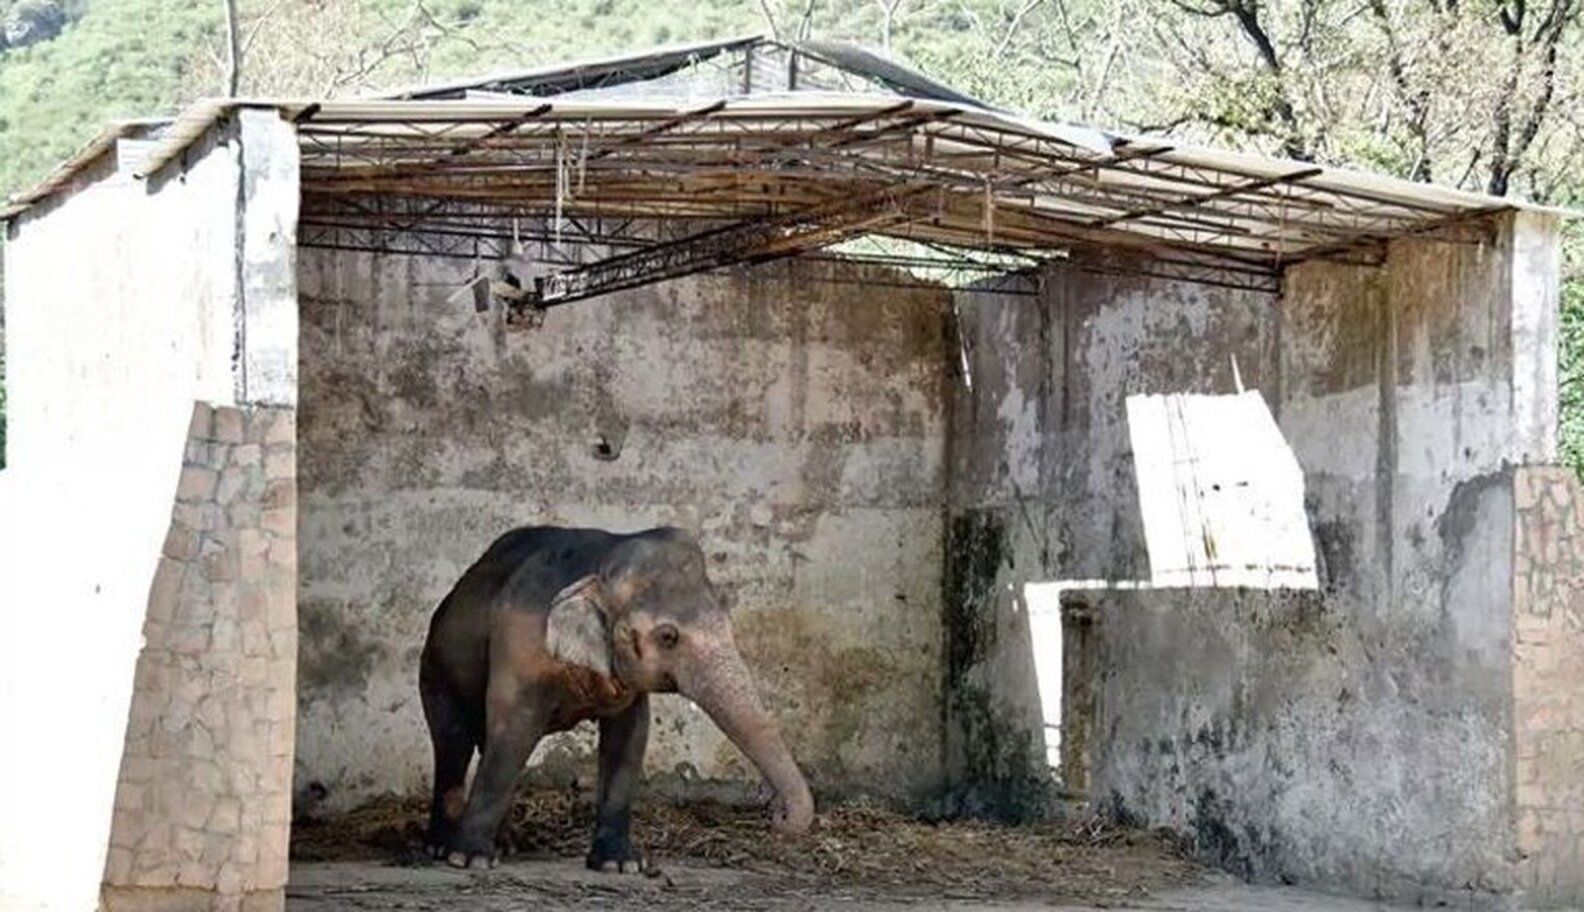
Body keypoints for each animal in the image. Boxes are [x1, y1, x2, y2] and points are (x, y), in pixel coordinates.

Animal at [418, 524, 815, 870]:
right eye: (668, 636)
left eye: (728, 622)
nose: (776, 814)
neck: (601, 566)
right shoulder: (521, 646)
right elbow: (514, 729)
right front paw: (469, 860)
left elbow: (630, 737)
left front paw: (620, 865)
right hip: (435, 665)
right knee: (454, 742)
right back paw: (442, 848)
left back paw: (504, 846)